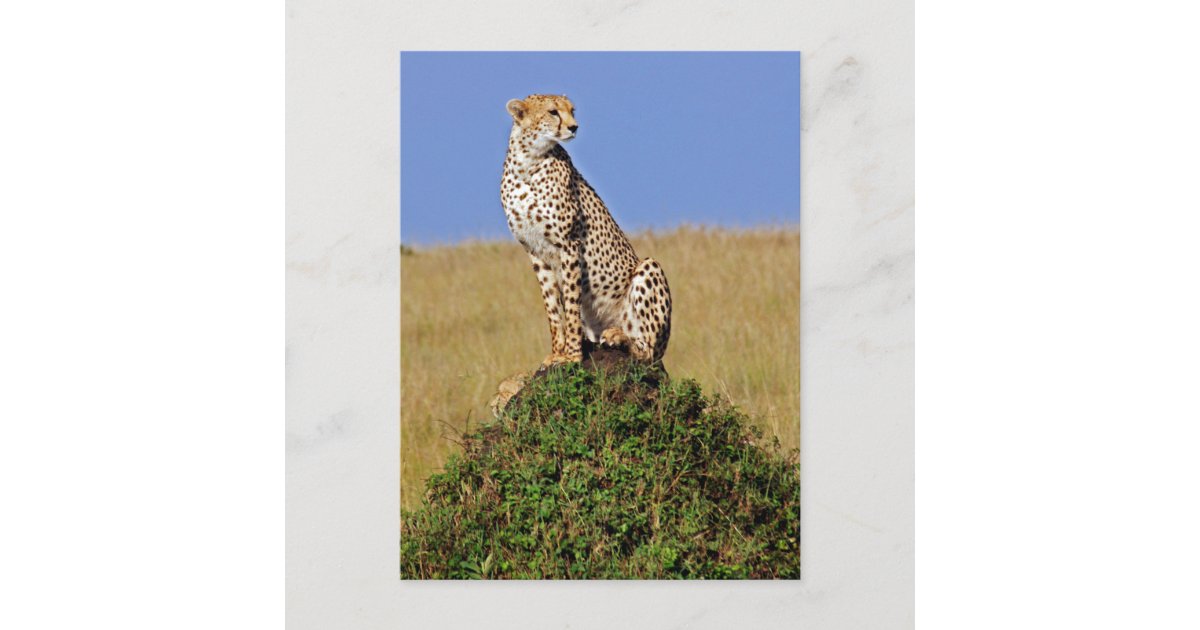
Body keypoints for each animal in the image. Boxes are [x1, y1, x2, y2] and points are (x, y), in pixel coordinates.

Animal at [500, 94, 672, 368]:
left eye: (572, 111)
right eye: (553, 112)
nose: (574, 127)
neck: (528, 161)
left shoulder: (568, 244)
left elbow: (570, 304)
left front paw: (571, 354)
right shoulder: (535, 251)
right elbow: (552, 308)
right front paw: (556, 352)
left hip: (649, 268)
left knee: (648, 352)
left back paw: (621, 338)